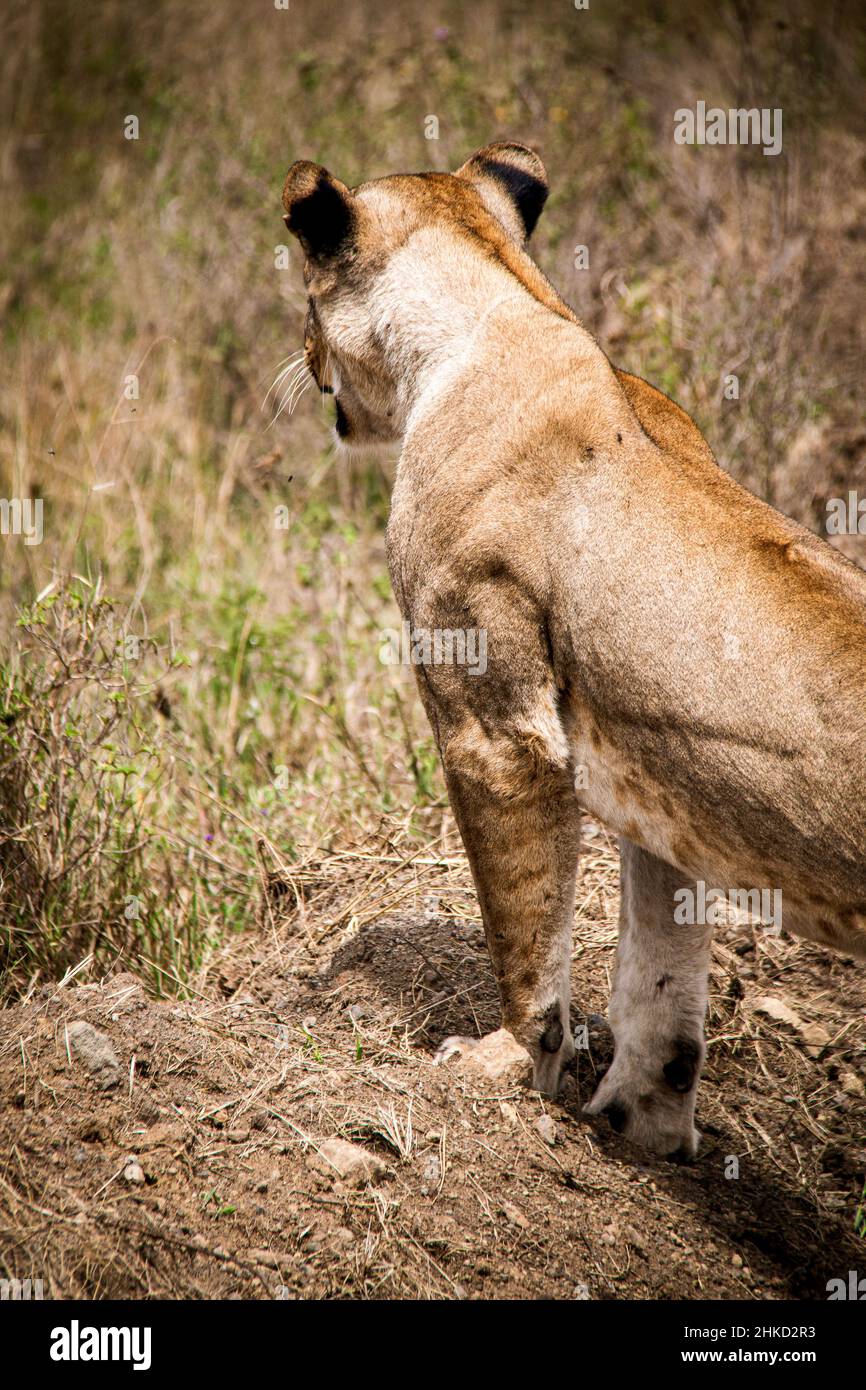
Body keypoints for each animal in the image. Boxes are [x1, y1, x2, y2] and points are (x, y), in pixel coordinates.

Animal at [281, 142, 866, 1159]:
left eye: (309, 307)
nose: (304, 355)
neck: (506, 311)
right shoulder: (672, 789)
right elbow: (662, 981)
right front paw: (644, 1130)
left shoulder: (498, 728)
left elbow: (526, 922)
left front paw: (504, 1063)